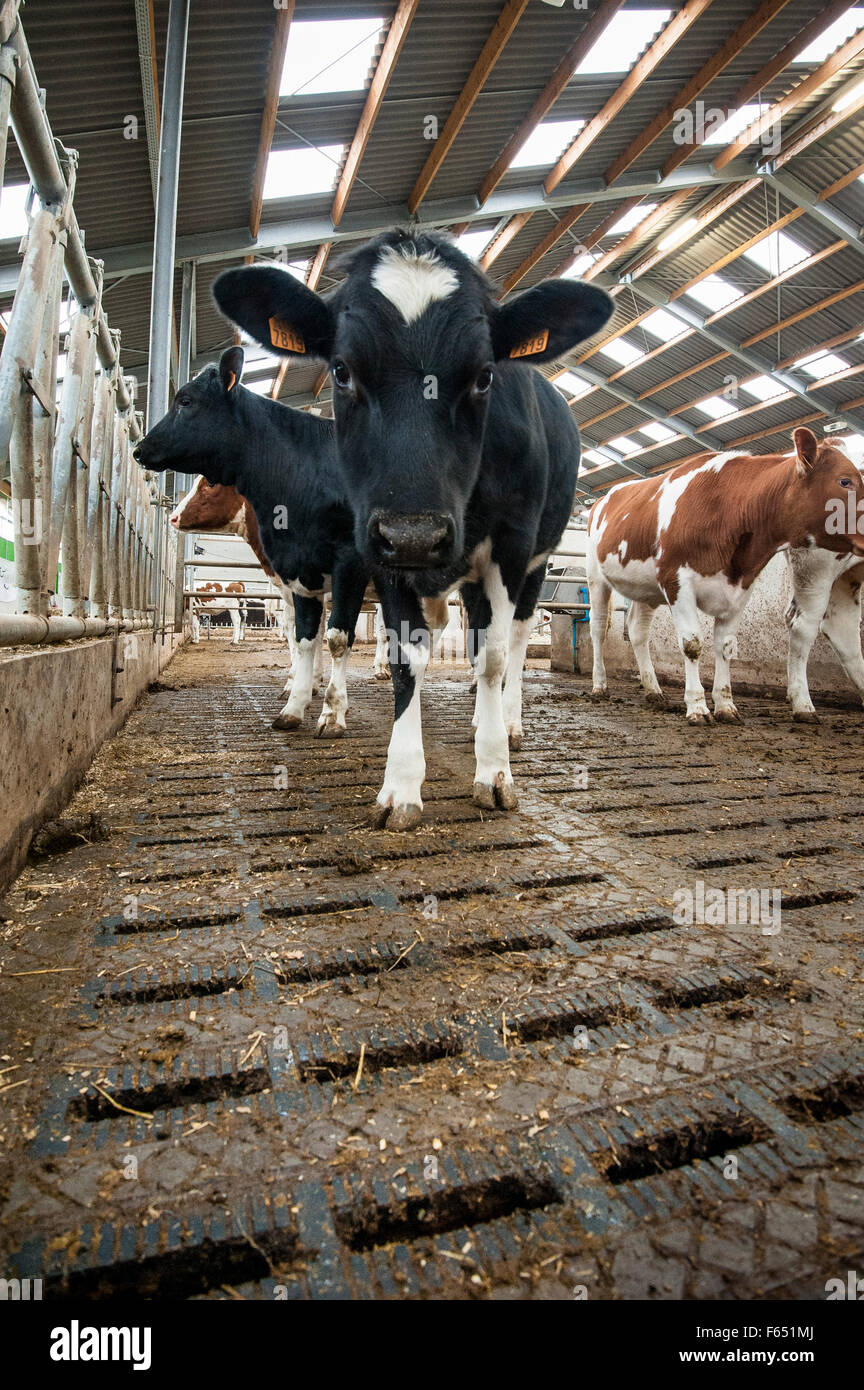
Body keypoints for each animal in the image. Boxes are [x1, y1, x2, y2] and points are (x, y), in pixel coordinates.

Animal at [135, 357, 371, 738]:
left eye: (185, 400)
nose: (139, 449)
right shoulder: (300, 572)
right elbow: (304, 636)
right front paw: (295, 702)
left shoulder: (349, 565)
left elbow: (335, 638)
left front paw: (333, 712)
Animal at [212, 229, 613, 828]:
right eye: (341, 370)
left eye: (485, 375)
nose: (416, 535)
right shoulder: (380, 551)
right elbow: (406, 659)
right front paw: (401, 785)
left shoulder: (510, 547)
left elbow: (494, 656)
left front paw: (494, 772)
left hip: (536, 562)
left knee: (516, 639)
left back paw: (506, 721)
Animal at [586, 429, 864, 724]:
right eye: (845, 481)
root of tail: (604, 498)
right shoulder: (677, 583)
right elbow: (692, 644)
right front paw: (697, 706)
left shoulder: (740, 589)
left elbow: (726, 647)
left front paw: (725, 705)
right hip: (596, 579)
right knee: (598, 629)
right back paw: (600, 685)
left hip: (645, 589)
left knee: (638, 631)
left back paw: (653, 691)